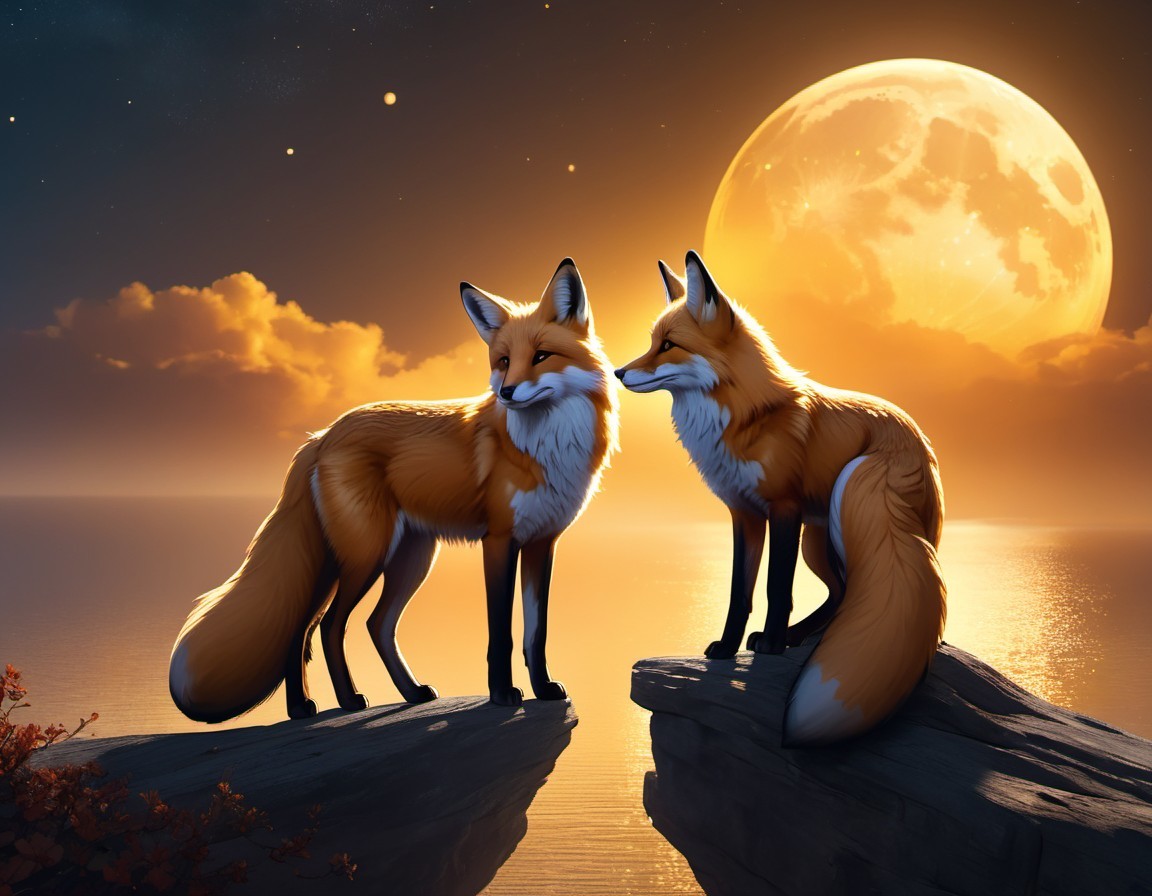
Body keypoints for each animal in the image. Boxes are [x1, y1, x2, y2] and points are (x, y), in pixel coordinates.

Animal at [169, 258, 618, 722]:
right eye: (504, 361)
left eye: (542, 356)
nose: (508, 392)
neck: (543, 447)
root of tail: (322, 435)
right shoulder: (499, 541)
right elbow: (502, 633)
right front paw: (502, 693)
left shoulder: (542, 543)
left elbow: (536, 631)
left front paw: (543, 689)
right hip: (363, 555)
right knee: (322, 626)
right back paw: (331, 703)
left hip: (404, 557)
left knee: (370, 625)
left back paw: (403, 693)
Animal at [616, 251, 946, 746]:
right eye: (652, 342)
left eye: (669, 345)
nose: (618, 373)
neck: (744, 418)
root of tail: (920, 439)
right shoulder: (744, 514)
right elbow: (740, 591)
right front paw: (727, 647)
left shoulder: (784, 510)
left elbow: (776, 587)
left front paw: (770, 643)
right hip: (820, 540)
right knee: (843, 592)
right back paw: (800, 637)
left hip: (841, 505)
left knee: (847, 591)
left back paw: (790, 638)